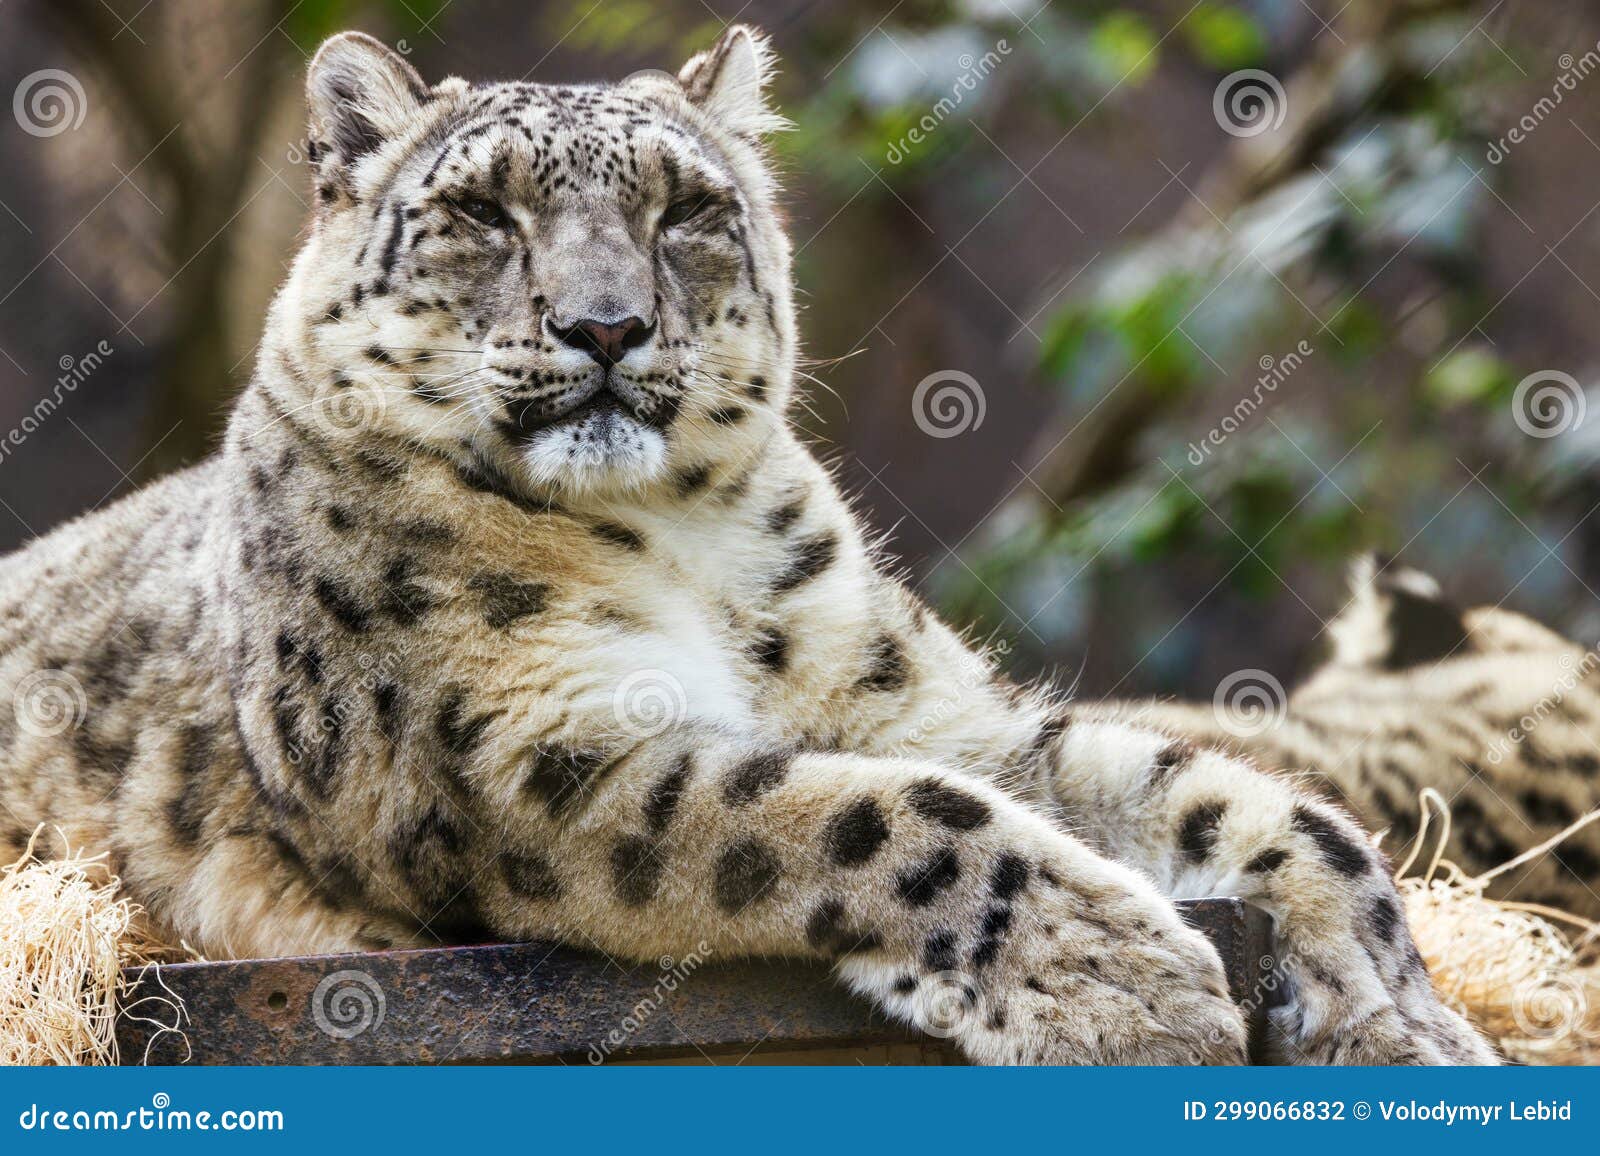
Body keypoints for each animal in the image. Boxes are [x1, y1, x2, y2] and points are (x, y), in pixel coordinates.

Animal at [0, 26, 1496, 1065]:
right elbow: (869, 814)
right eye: (480, 212)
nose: (607, 326)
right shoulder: (507, 761)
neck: (681, 546)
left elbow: (1230, 798)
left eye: (686, 210)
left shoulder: (922, 708)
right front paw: (1122, 984)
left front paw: (1397, 1016)